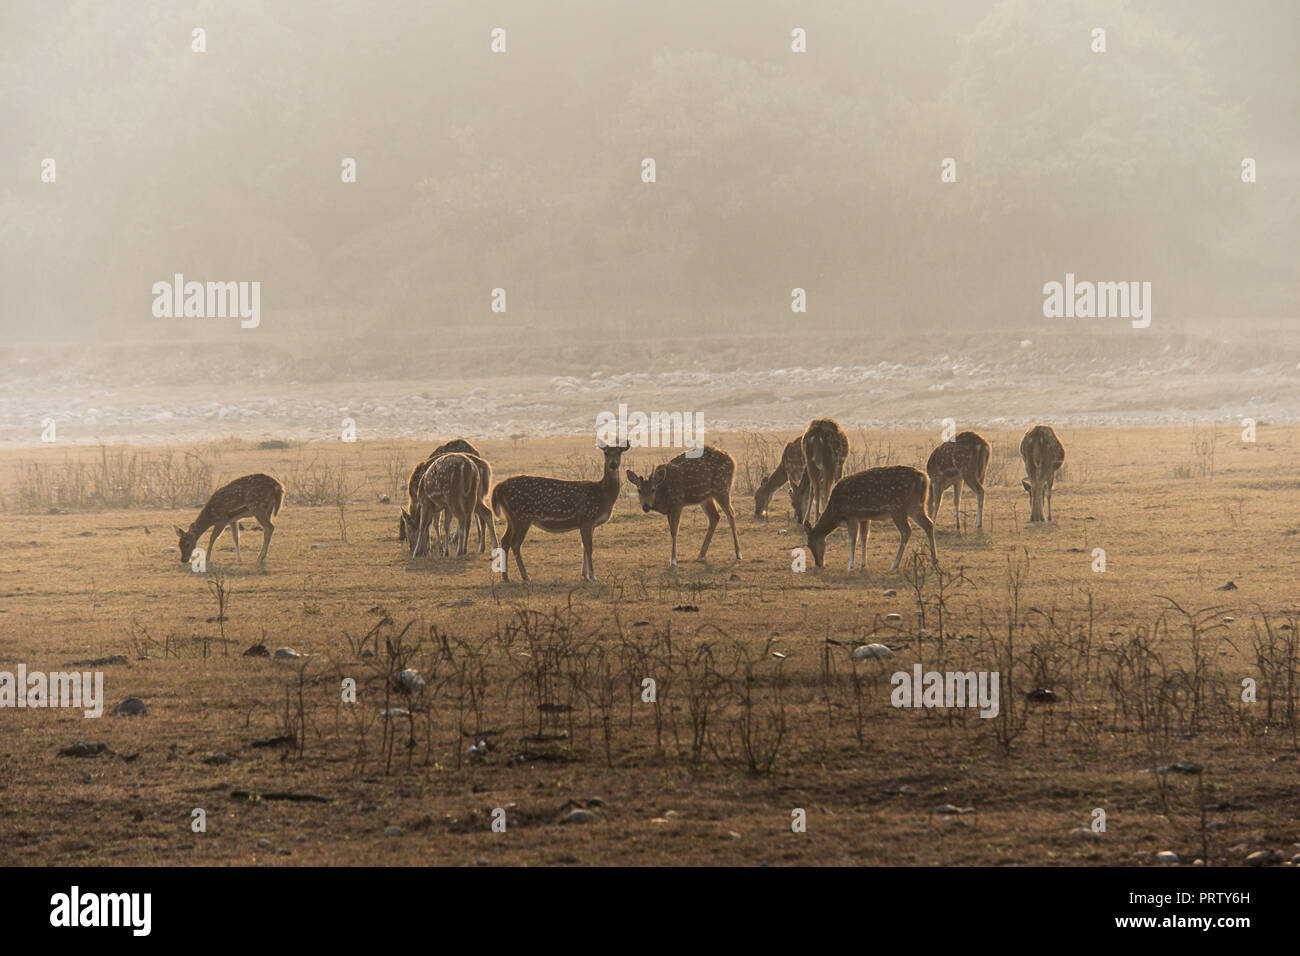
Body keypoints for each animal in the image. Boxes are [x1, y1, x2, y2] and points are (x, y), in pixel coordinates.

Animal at [490, 440, 630, 583]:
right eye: (605, 453)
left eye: (619, 452)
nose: (613, 464)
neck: (603, 496)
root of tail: (499, 487)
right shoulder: (586, 518)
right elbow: (589, 547)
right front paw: (593, 576)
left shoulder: (590, 524)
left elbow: (584, 547)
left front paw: (584, 575)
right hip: (522, 516)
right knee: (515, 543)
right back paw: (526, 576)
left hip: (511, 517)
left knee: (505, 540)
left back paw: (506, 577)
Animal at [802, 466, 937, 572]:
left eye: (810, 544)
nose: (818, 563)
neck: (835, 512)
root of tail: (924, 478)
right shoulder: (864, 518)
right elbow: (864, 538)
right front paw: (863, 564)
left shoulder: (851, 515)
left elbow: (853, 539)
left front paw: (850, 566)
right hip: (916, 506)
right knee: (928, 524)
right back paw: (934, 561)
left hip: (898, 508)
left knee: (906, 531)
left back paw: (894, 565)